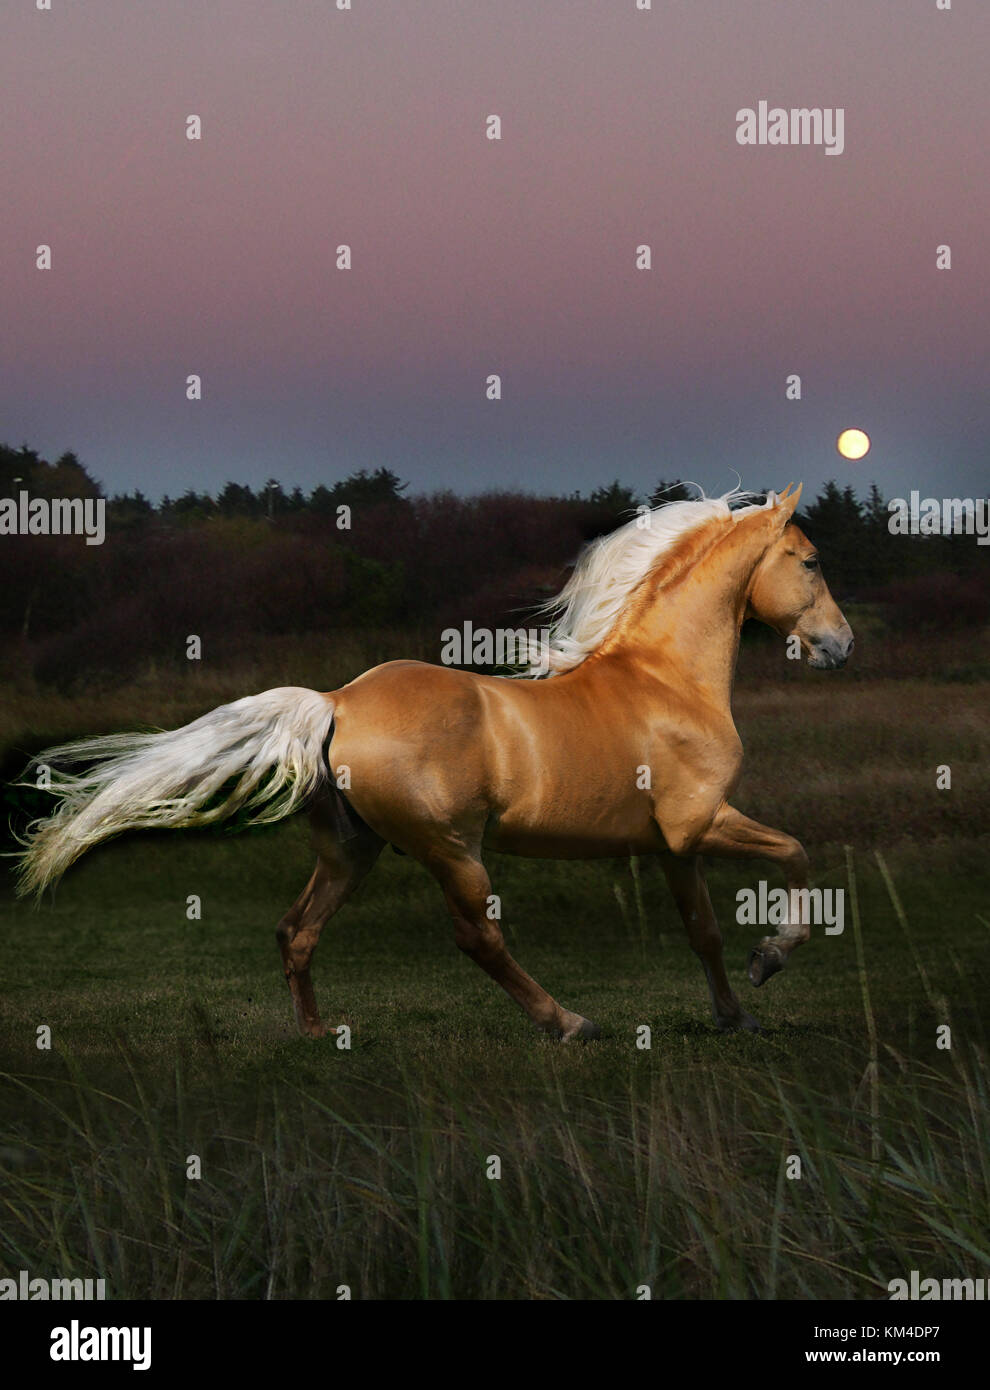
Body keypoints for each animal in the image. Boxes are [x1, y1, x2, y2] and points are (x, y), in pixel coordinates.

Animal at [14, 483, 853, 1041]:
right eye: (810, 562)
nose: (842, 647)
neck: (665, 678)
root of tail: (338, 700)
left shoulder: (672, 845)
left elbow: (702, 930)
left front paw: (735, 1014)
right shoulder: (701, 823)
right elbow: (797, 856)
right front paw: (770, 959)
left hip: (351, 850)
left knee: (296, 931)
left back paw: (316, 1036)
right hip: (452, 848)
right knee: (477, 939)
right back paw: (567, 1022)